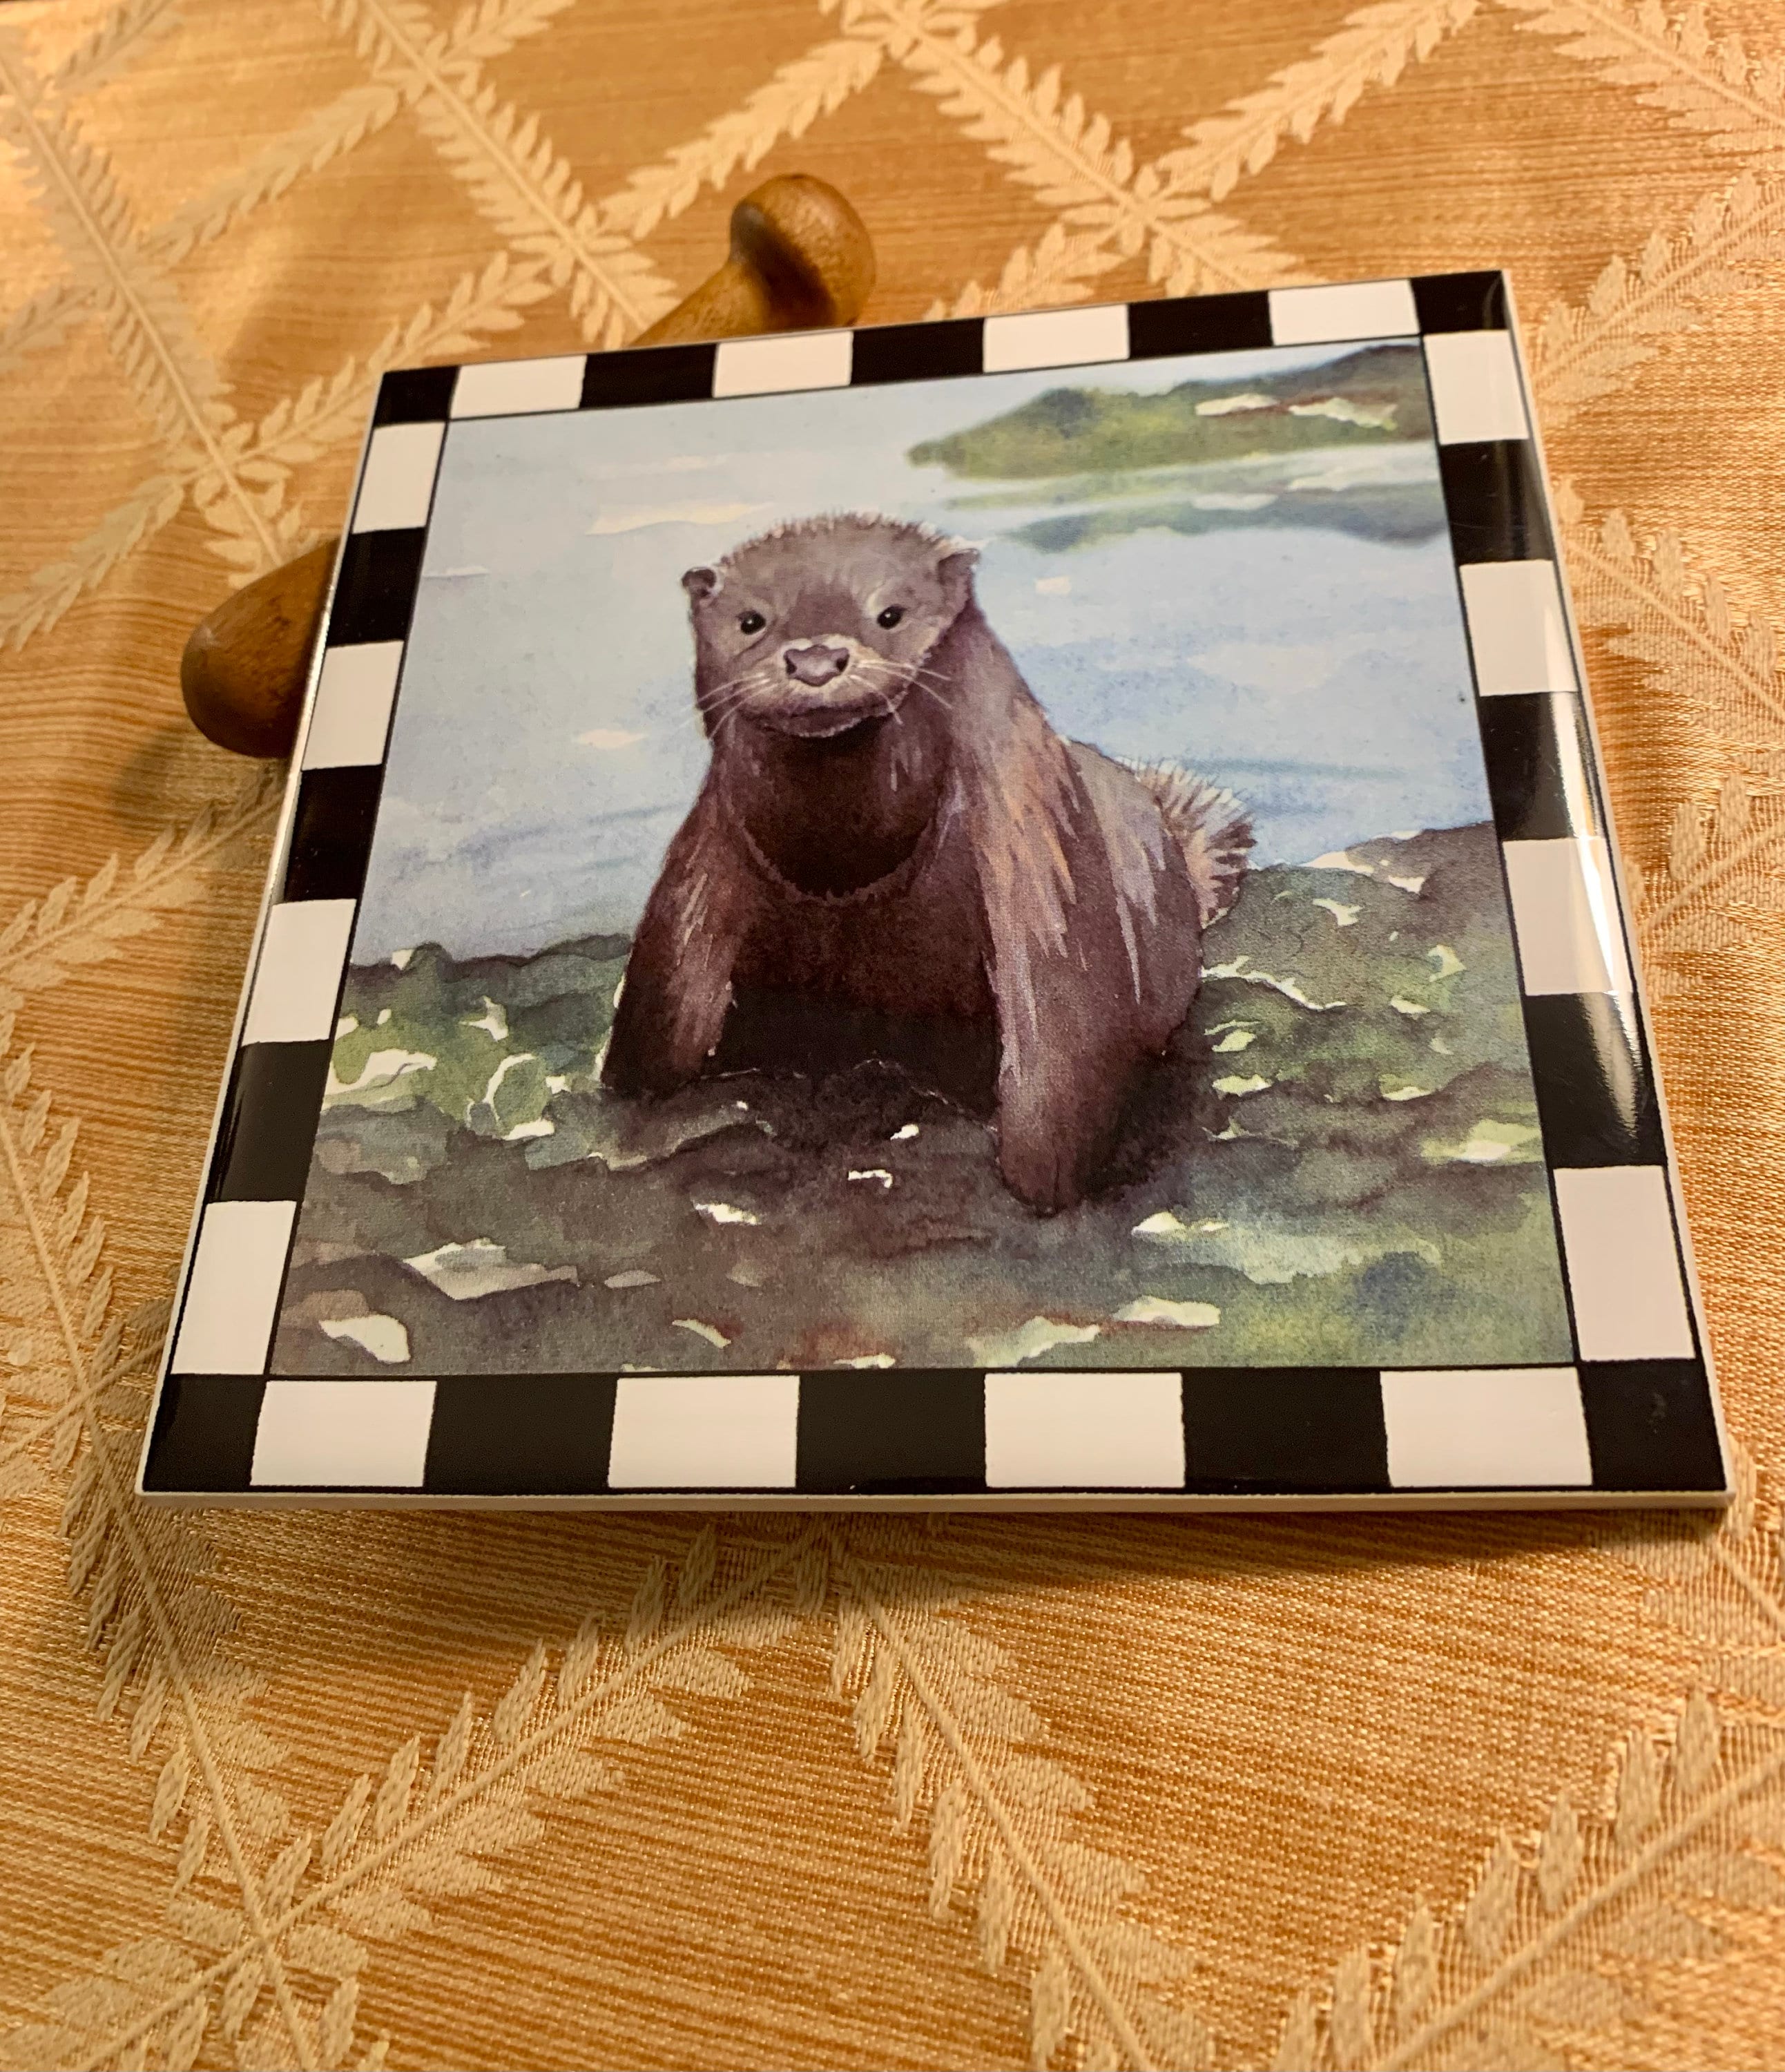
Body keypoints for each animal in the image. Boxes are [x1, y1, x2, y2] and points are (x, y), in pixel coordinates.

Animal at [601, 513, 1251, 1212]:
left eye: (890, 613)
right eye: (751, 620)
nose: (814, 659)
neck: (844, 868)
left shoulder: (1037, 864)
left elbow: (1059, 1058)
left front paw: (1045, 1186)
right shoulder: (699, 876)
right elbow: (659, 1021)